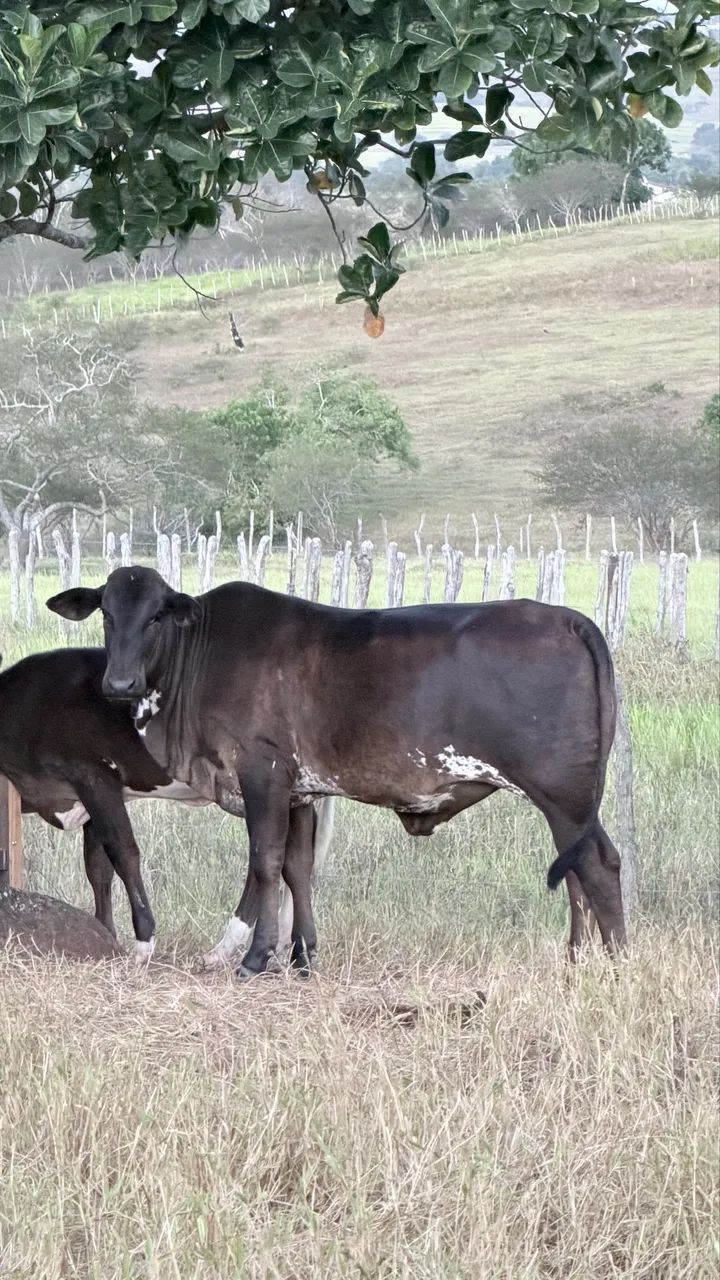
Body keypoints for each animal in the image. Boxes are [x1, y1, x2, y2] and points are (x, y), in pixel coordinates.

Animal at [0, 647, 333, 966]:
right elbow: (98, 868)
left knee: (264, 858)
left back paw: (227, 948)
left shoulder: (94, 777)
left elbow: (124, 854)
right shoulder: (92, 796)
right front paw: (105, 932)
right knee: (294, 860)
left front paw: (143, 941)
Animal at [48, 567, 627, 978]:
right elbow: (297, 870)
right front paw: (303, 958)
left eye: (155, 617)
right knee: (584, 870)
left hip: (562, 794)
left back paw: (617, 963)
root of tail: (567, 618)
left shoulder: (263, 774)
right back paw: (579, 962)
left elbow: (265, 863)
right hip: (572, 804)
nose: (119, 684)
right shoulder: (302, 792)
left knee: (596, 866)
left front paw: (254, 959)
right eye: (106, 613)